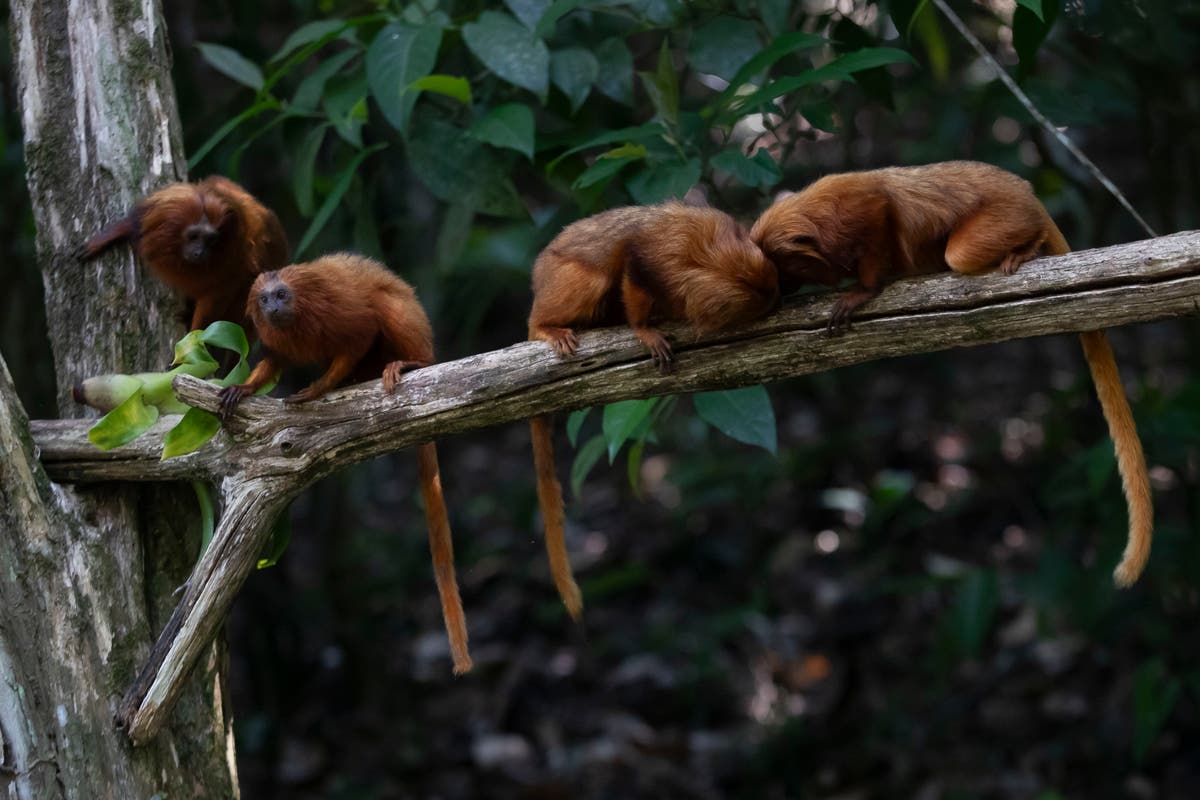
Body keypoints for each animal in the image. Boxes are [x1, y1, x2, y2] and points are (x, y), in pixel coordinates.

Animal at [77, 175, 288, 333]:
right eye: (194, 237)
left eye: (210, 240)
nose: (199, 252)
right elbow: (137, 225)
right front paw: (113, 233)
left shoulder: (233, 261)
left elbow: (216, 298)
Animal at [217, 253, 472, 675]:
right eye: (265, 299)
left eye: (281, 295)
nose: (272, 308)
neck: (298, 316)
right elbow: (274, 362)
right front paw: (245, 387)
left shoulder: (336, 312)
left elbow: (361, 329)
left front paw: (319, 388)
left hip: (417, 334)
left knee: (387, 305)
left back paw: (410, 363)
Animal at [527, 202, 781, 618]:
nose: (776, 297)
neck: (705, 255)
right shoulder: (653, 260)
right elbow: (630, 269)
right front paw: (644, 330)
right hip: (557, 281)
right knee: (589, 279)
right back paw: (545, 327)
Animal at [750, 160, 1153, 586]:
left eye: (781, 267)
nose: (779, 288)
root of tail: (1025, 193)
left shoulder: (855, 210)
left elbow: (881, 210)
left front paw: (864, 290)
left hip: (1004, 215)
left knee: (961, 254)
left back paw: (1030, 243)